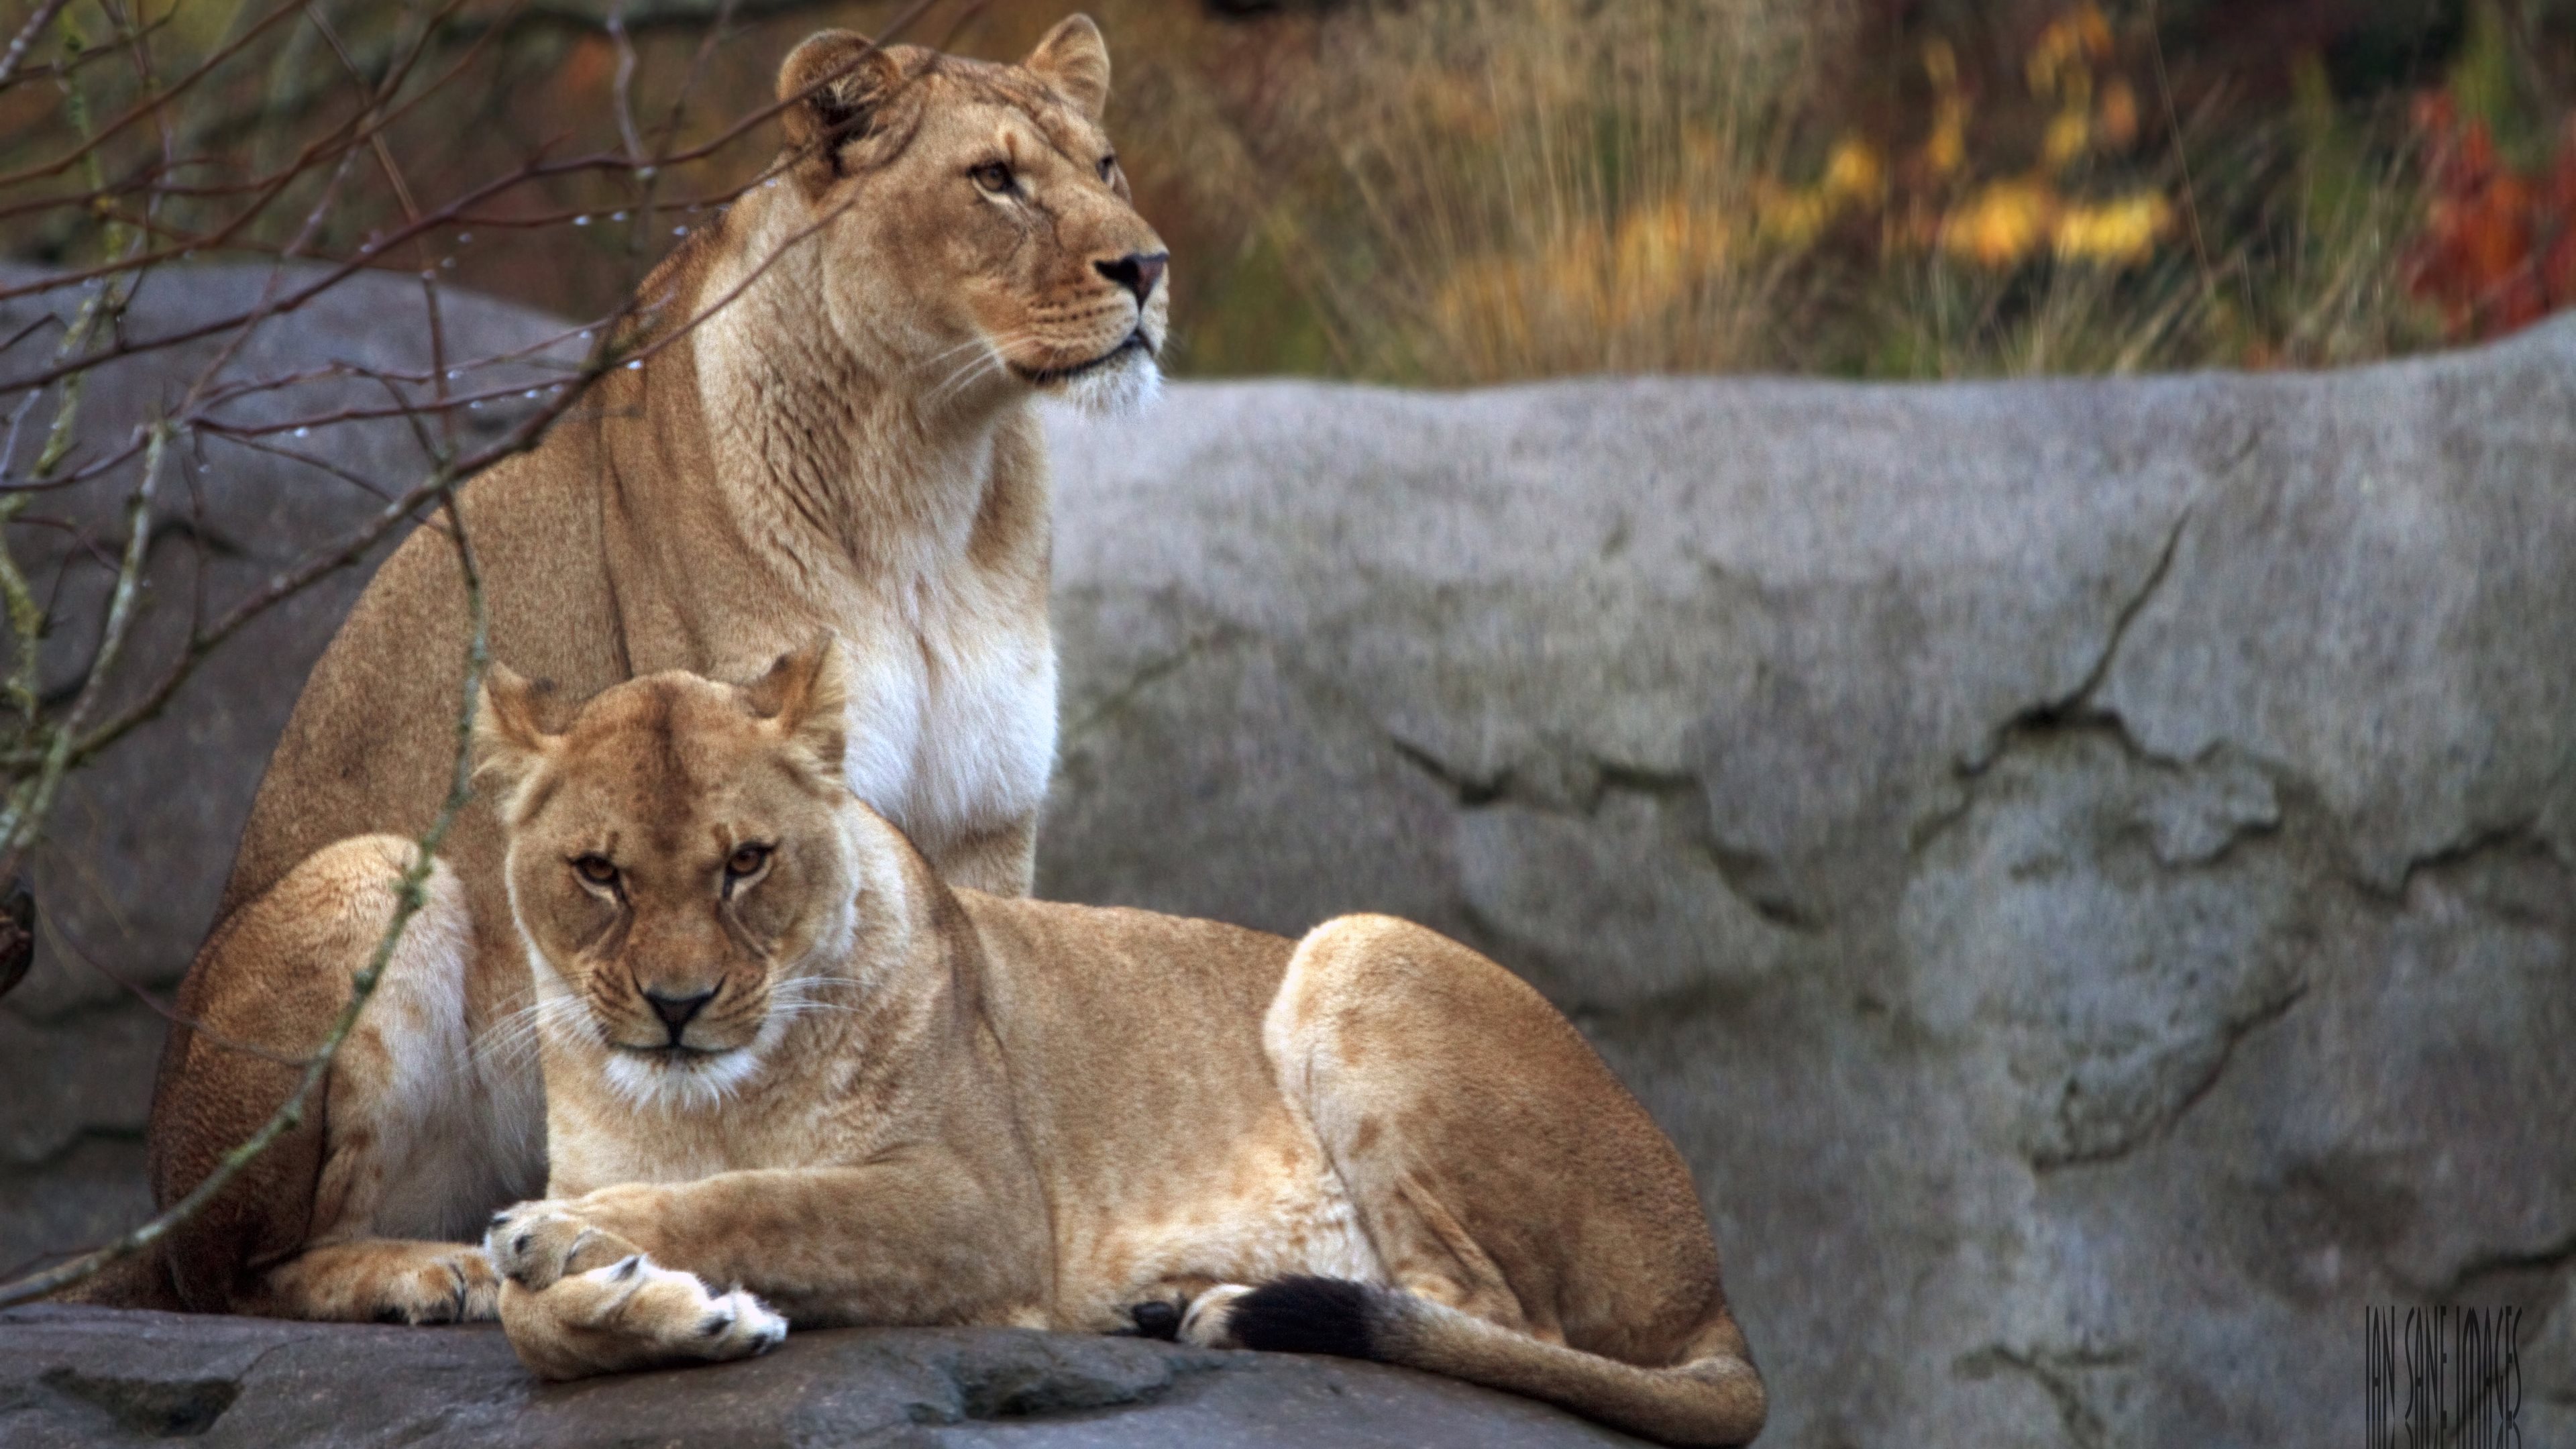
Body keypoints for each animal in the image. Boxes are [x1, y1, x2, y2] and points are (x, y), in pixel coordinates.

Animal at [135, 16, 1167, 1322]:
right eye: (995, 180)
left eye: (1107, 164)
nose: (1150, 268)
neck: (936, 465)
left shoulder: (985, 814)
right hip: (368, 878)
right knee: (239, 1278)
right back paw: (425, 1272)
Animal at [463, 645, 1769, 1448]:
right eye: (598, 872)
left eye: (747, 862)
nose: (678, 1005)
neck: (699, 1104)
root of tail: (1718, 1291)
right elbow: (528, 1324)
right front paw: (669, 1309)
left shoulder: (980, 1209)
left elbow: (765, 1199)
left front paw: (572, 1239)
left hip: (1358, 945)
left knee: (1495, 1321)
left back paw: (1225, 1308)